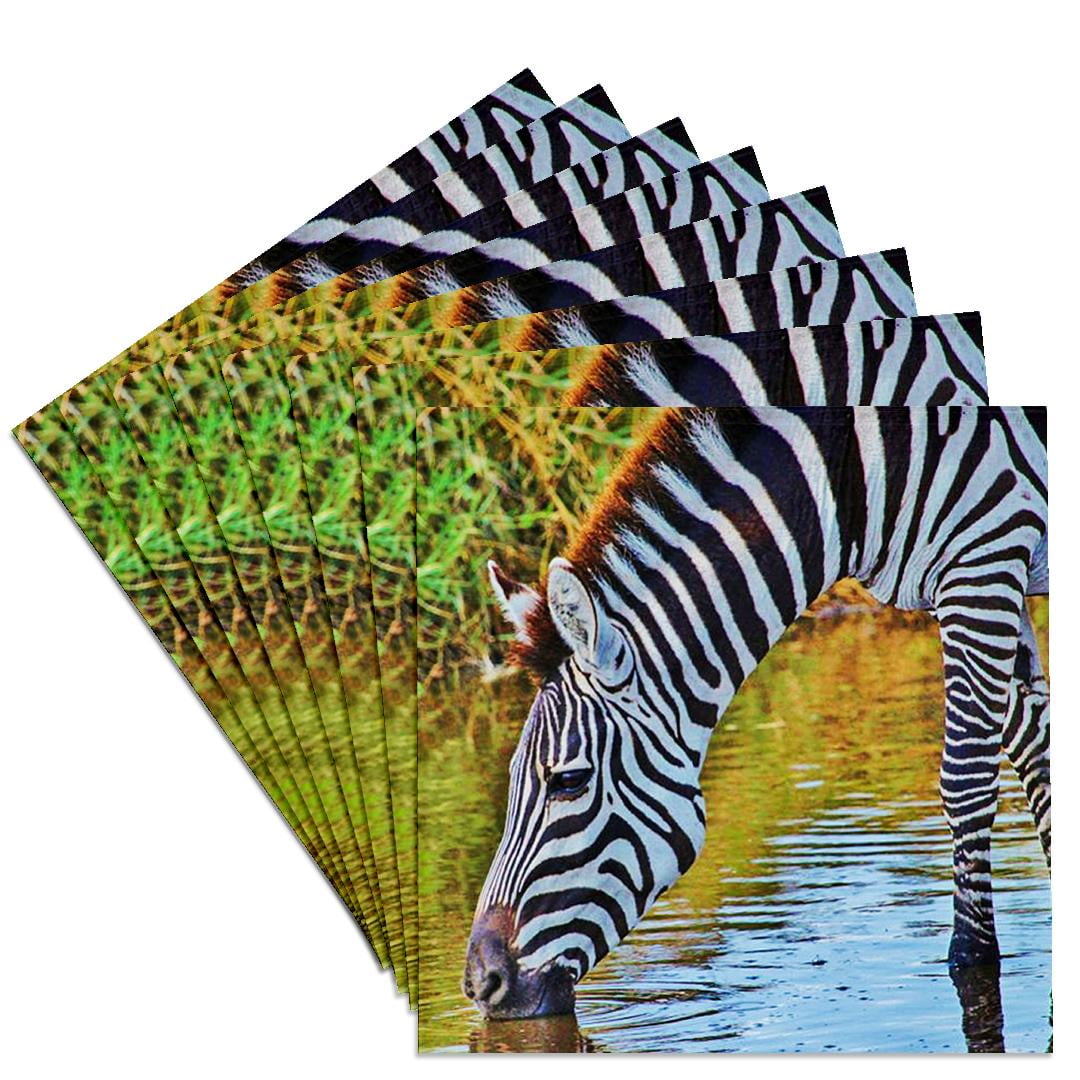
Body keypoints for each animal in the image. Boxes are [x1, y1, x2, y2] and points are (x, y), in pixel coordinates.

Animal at [463, 406, 1049, 1021]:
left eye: (570, 781)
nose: (480, 984)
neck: (860, 467)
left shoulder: (984, 561)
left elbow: (967, 782)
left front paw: (973, 956)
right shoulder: (974, 580)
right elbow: (1038, 752)